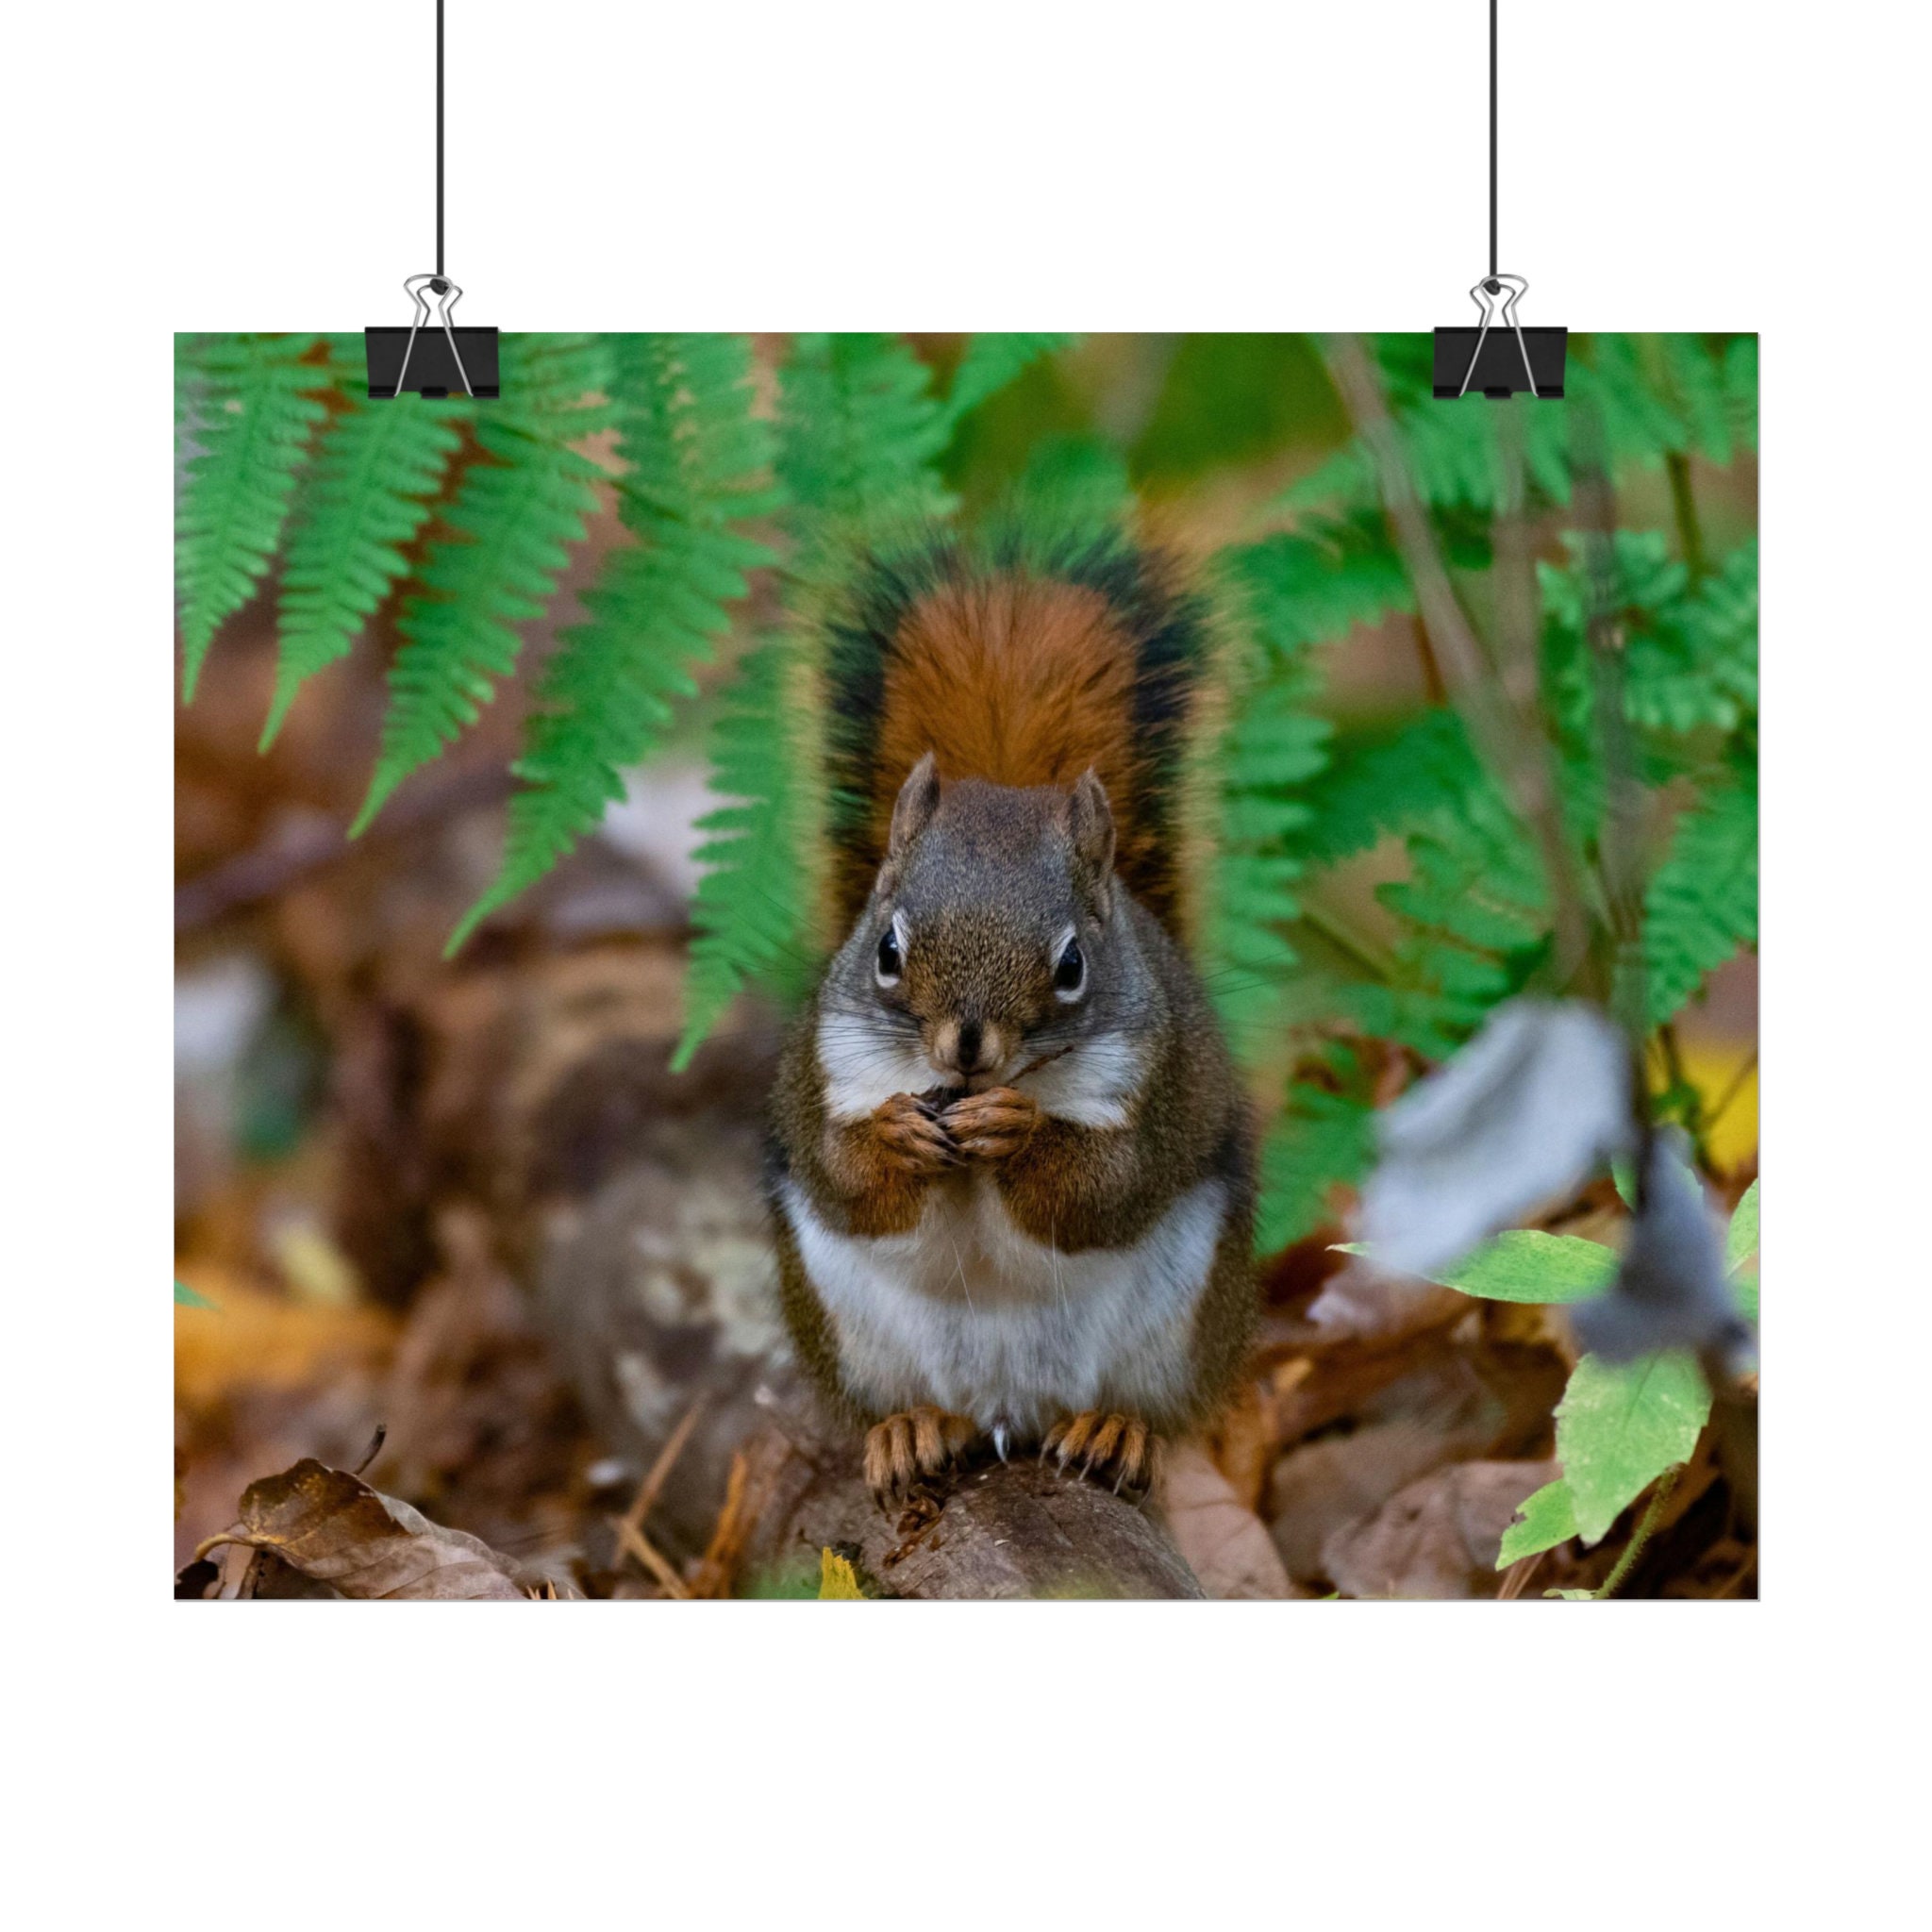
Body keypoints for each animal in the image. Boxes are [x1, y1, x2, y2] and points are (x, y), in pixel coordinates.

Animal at [766, 528, 1257, 1506]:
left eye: (1071, 967)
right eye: (886, 949)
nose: (965, 1049)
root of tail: (1008, 1411)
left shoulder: (1153, 1083)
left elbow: (1103, 1189)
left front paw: (1017, 1130)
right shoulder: (819, 1067)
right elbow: (842, 1173)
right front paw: (893, 1137)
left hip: (1178, 1332)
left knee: (1146, 1406)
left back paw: (1114, 1431)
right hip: (851, 1335)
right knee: (907, 1400)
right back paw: (912, 1430)